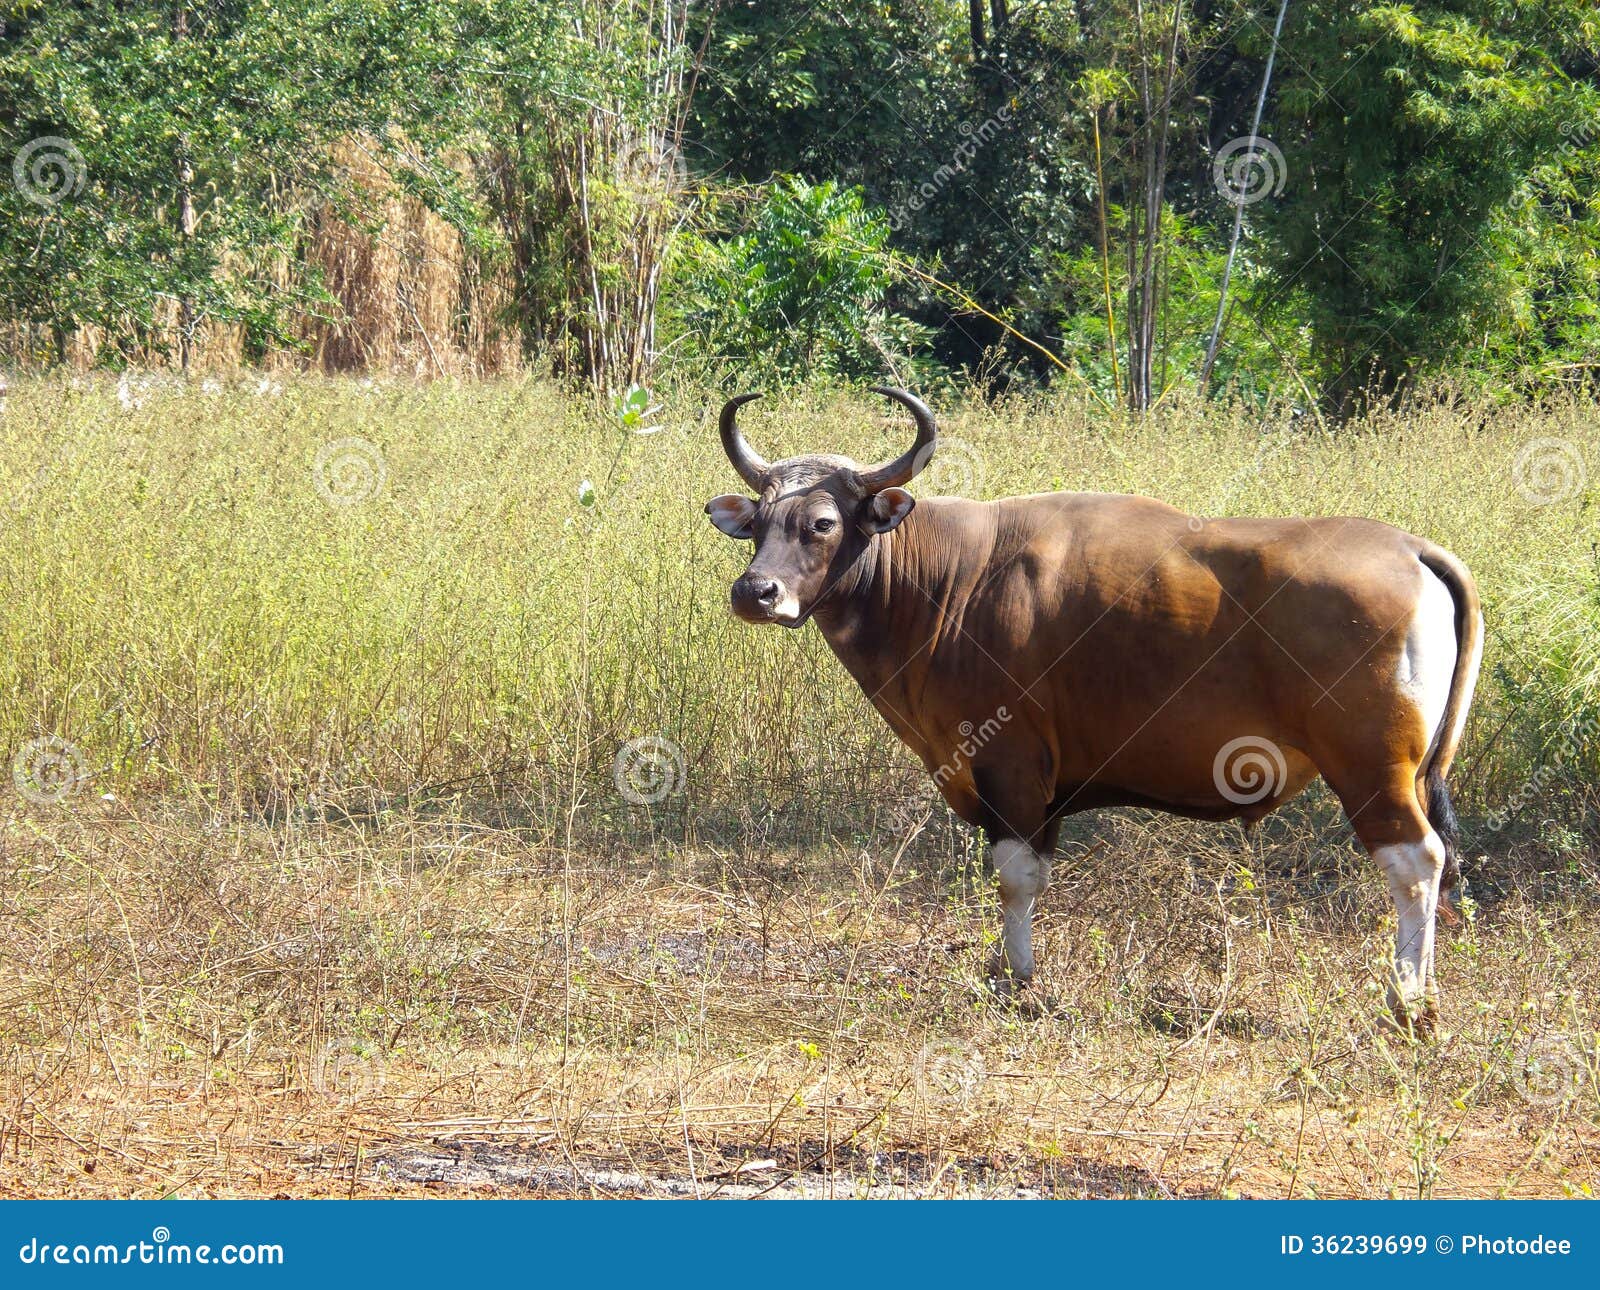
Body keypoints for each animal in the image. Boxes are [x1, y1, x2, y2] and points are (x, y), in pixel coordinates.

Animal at [704, 387, 1482, 1034]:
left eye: (822, 523)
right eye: (760, 524)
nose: (755, 592)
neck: (949, 580)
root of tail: (1412, 549)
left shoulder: (1011, 764)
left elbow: (1015, 876)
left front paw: (1017, 981)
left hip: (1370, 766)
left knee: (1415, 860)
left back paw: (1406, 1002)